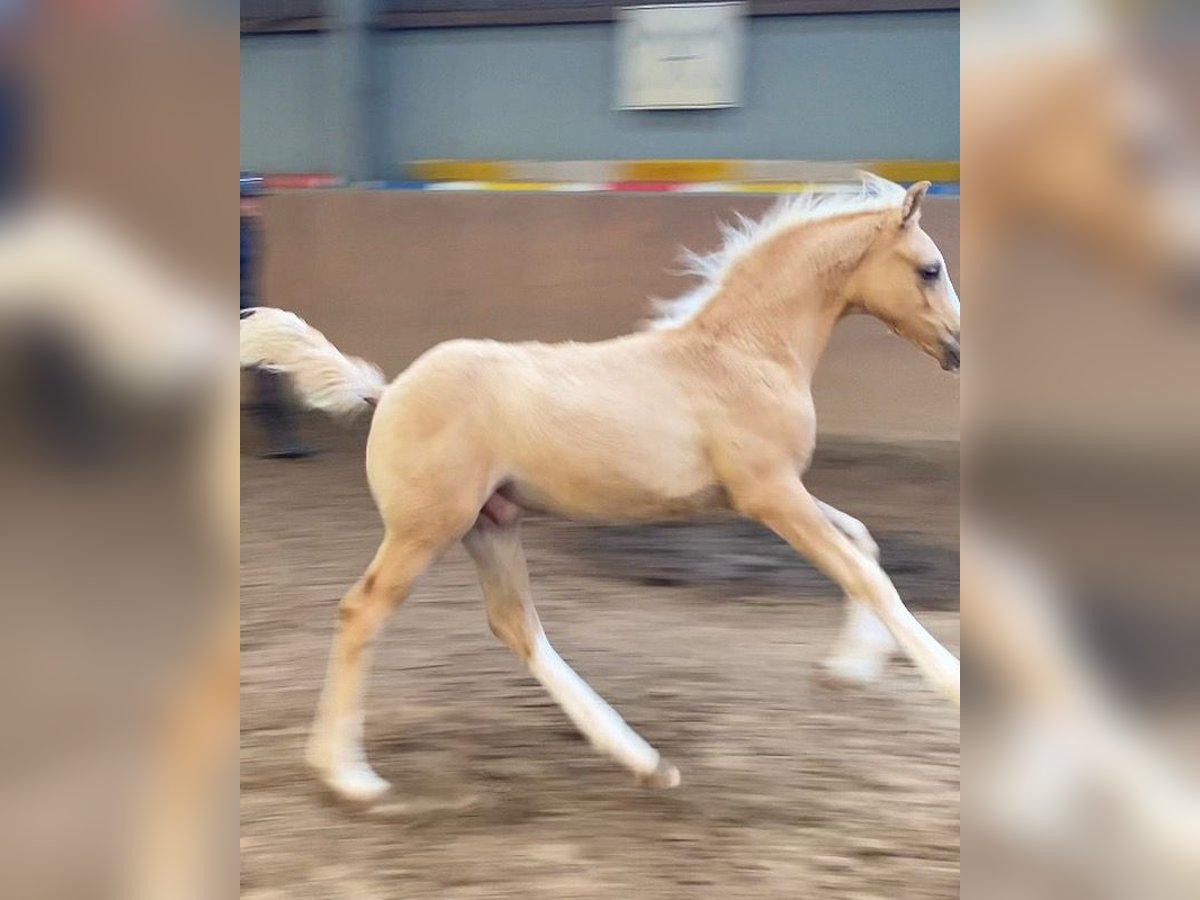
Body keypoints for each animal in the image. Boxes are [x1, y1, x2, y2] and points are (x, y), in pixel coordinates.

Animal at [241, 175, 961, 803]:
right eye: (930, 268)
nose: (957, 349)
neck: (742, 354)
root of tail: (387, 392)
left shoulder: (765, 493)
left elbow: (863, 543)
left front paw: (851, 668)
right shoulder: (769, 494)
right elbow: (866, 573)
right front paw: (947, 679)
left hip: (490, 524)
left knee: (516, 626)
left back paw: (643, 760)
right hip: (426, 530)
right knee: (362, 613)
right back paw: (348, 775)